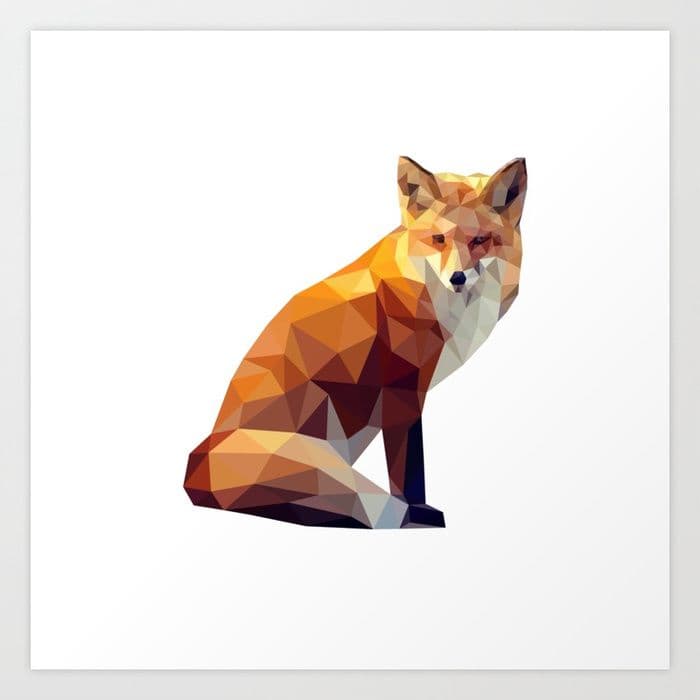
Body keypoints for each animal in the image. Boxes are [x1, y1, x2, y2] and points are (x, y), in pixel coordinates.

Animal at [184, 156, 526, 529]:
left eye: (480, 240)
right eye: (438, 238)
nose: (458, 277)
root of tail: (199, 460)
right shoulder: (402, 393)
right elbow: (408, 470)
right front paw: (418, 513)